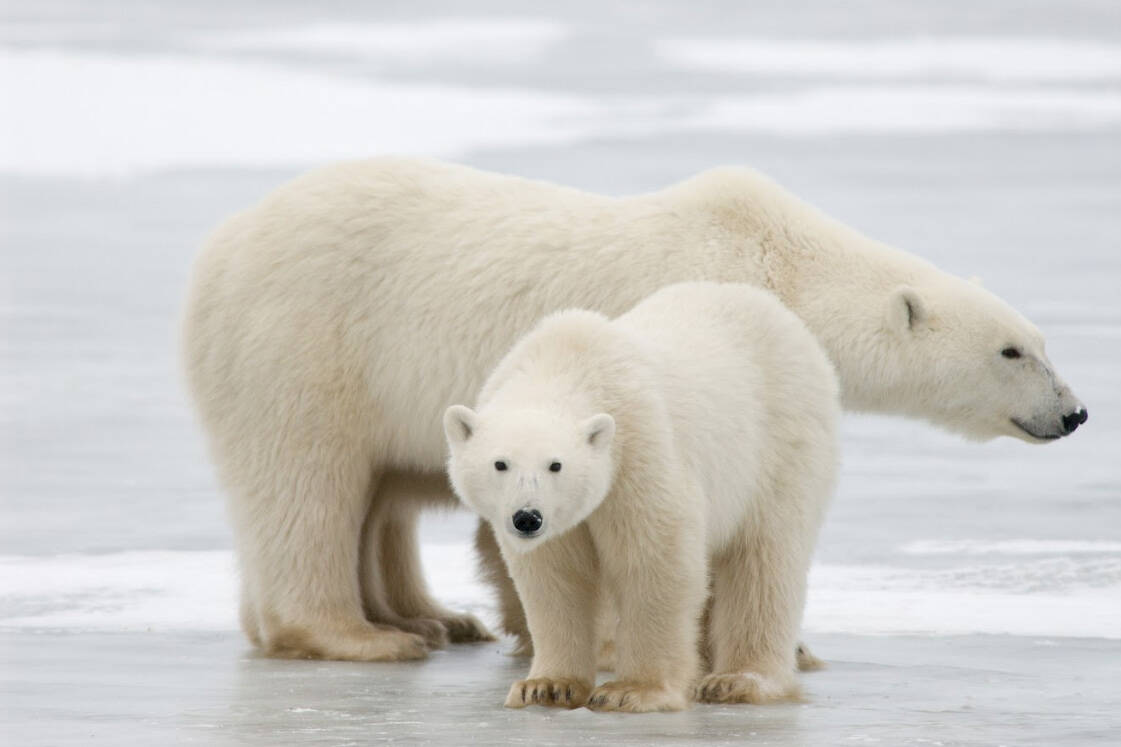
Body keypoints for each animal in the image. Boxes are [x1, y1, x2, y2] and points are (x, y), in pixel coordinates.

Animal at [181, 158, 1086, 662]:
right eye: (1013, 351)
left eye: (1039, 340)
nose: (1074, 413)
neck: (776, 261)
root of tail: (217, 253)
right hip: (307, 342)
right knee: (306, 480)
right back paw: (363, 635)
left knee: (377, 492)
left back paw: (435, 617)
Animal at [444, 282, 840, 712]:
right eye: (500, 464)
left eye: (556, 465)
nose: (527, 518)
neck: (566, 364)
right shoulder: (562, 524)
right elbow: (556, 578)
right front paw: (546, 686)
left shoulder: (639, 451)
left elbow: (655, 562)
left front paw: (632, 690)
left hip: (780, 444)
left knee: (764, 559)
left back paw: (739, 680)